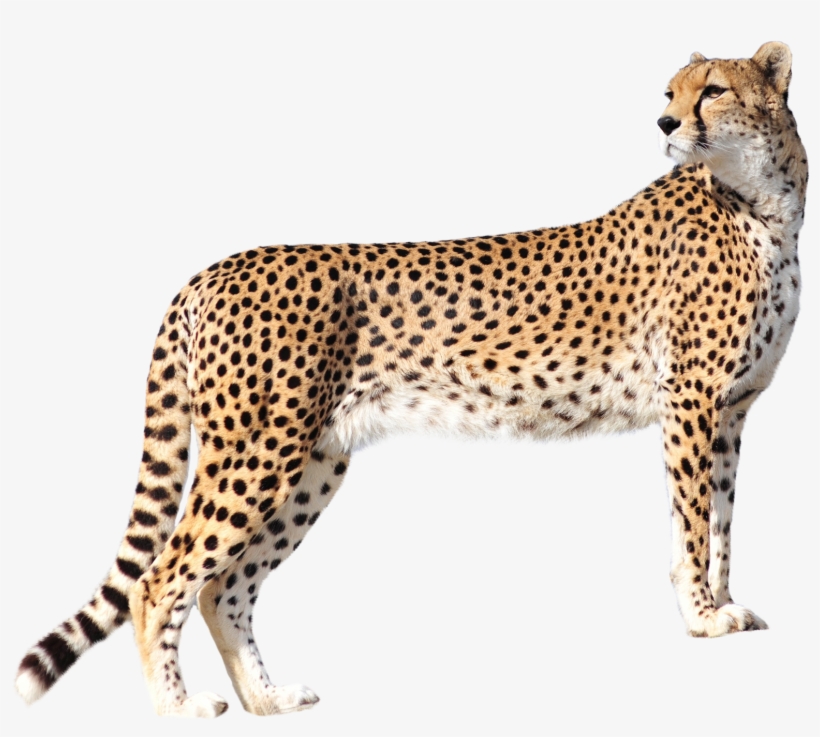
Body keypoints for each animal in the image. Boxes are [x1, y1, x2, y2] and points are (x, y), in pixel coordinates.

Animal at [16, 41, 807, 718]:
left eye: (712, 90)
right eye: (669, 92)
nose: (665, 123)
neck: (765, 201)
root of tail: (212, 270)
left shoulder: (732, 410)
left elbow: (721, 520)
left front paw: (726, 607)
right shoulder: (692, 403)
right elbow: (692, 524)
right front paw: (702, 618)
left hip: (313, 462)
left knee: (224, 587)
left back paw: (268, 699)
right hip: (258, 452)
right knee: (161, 578)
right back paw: (177, 707)